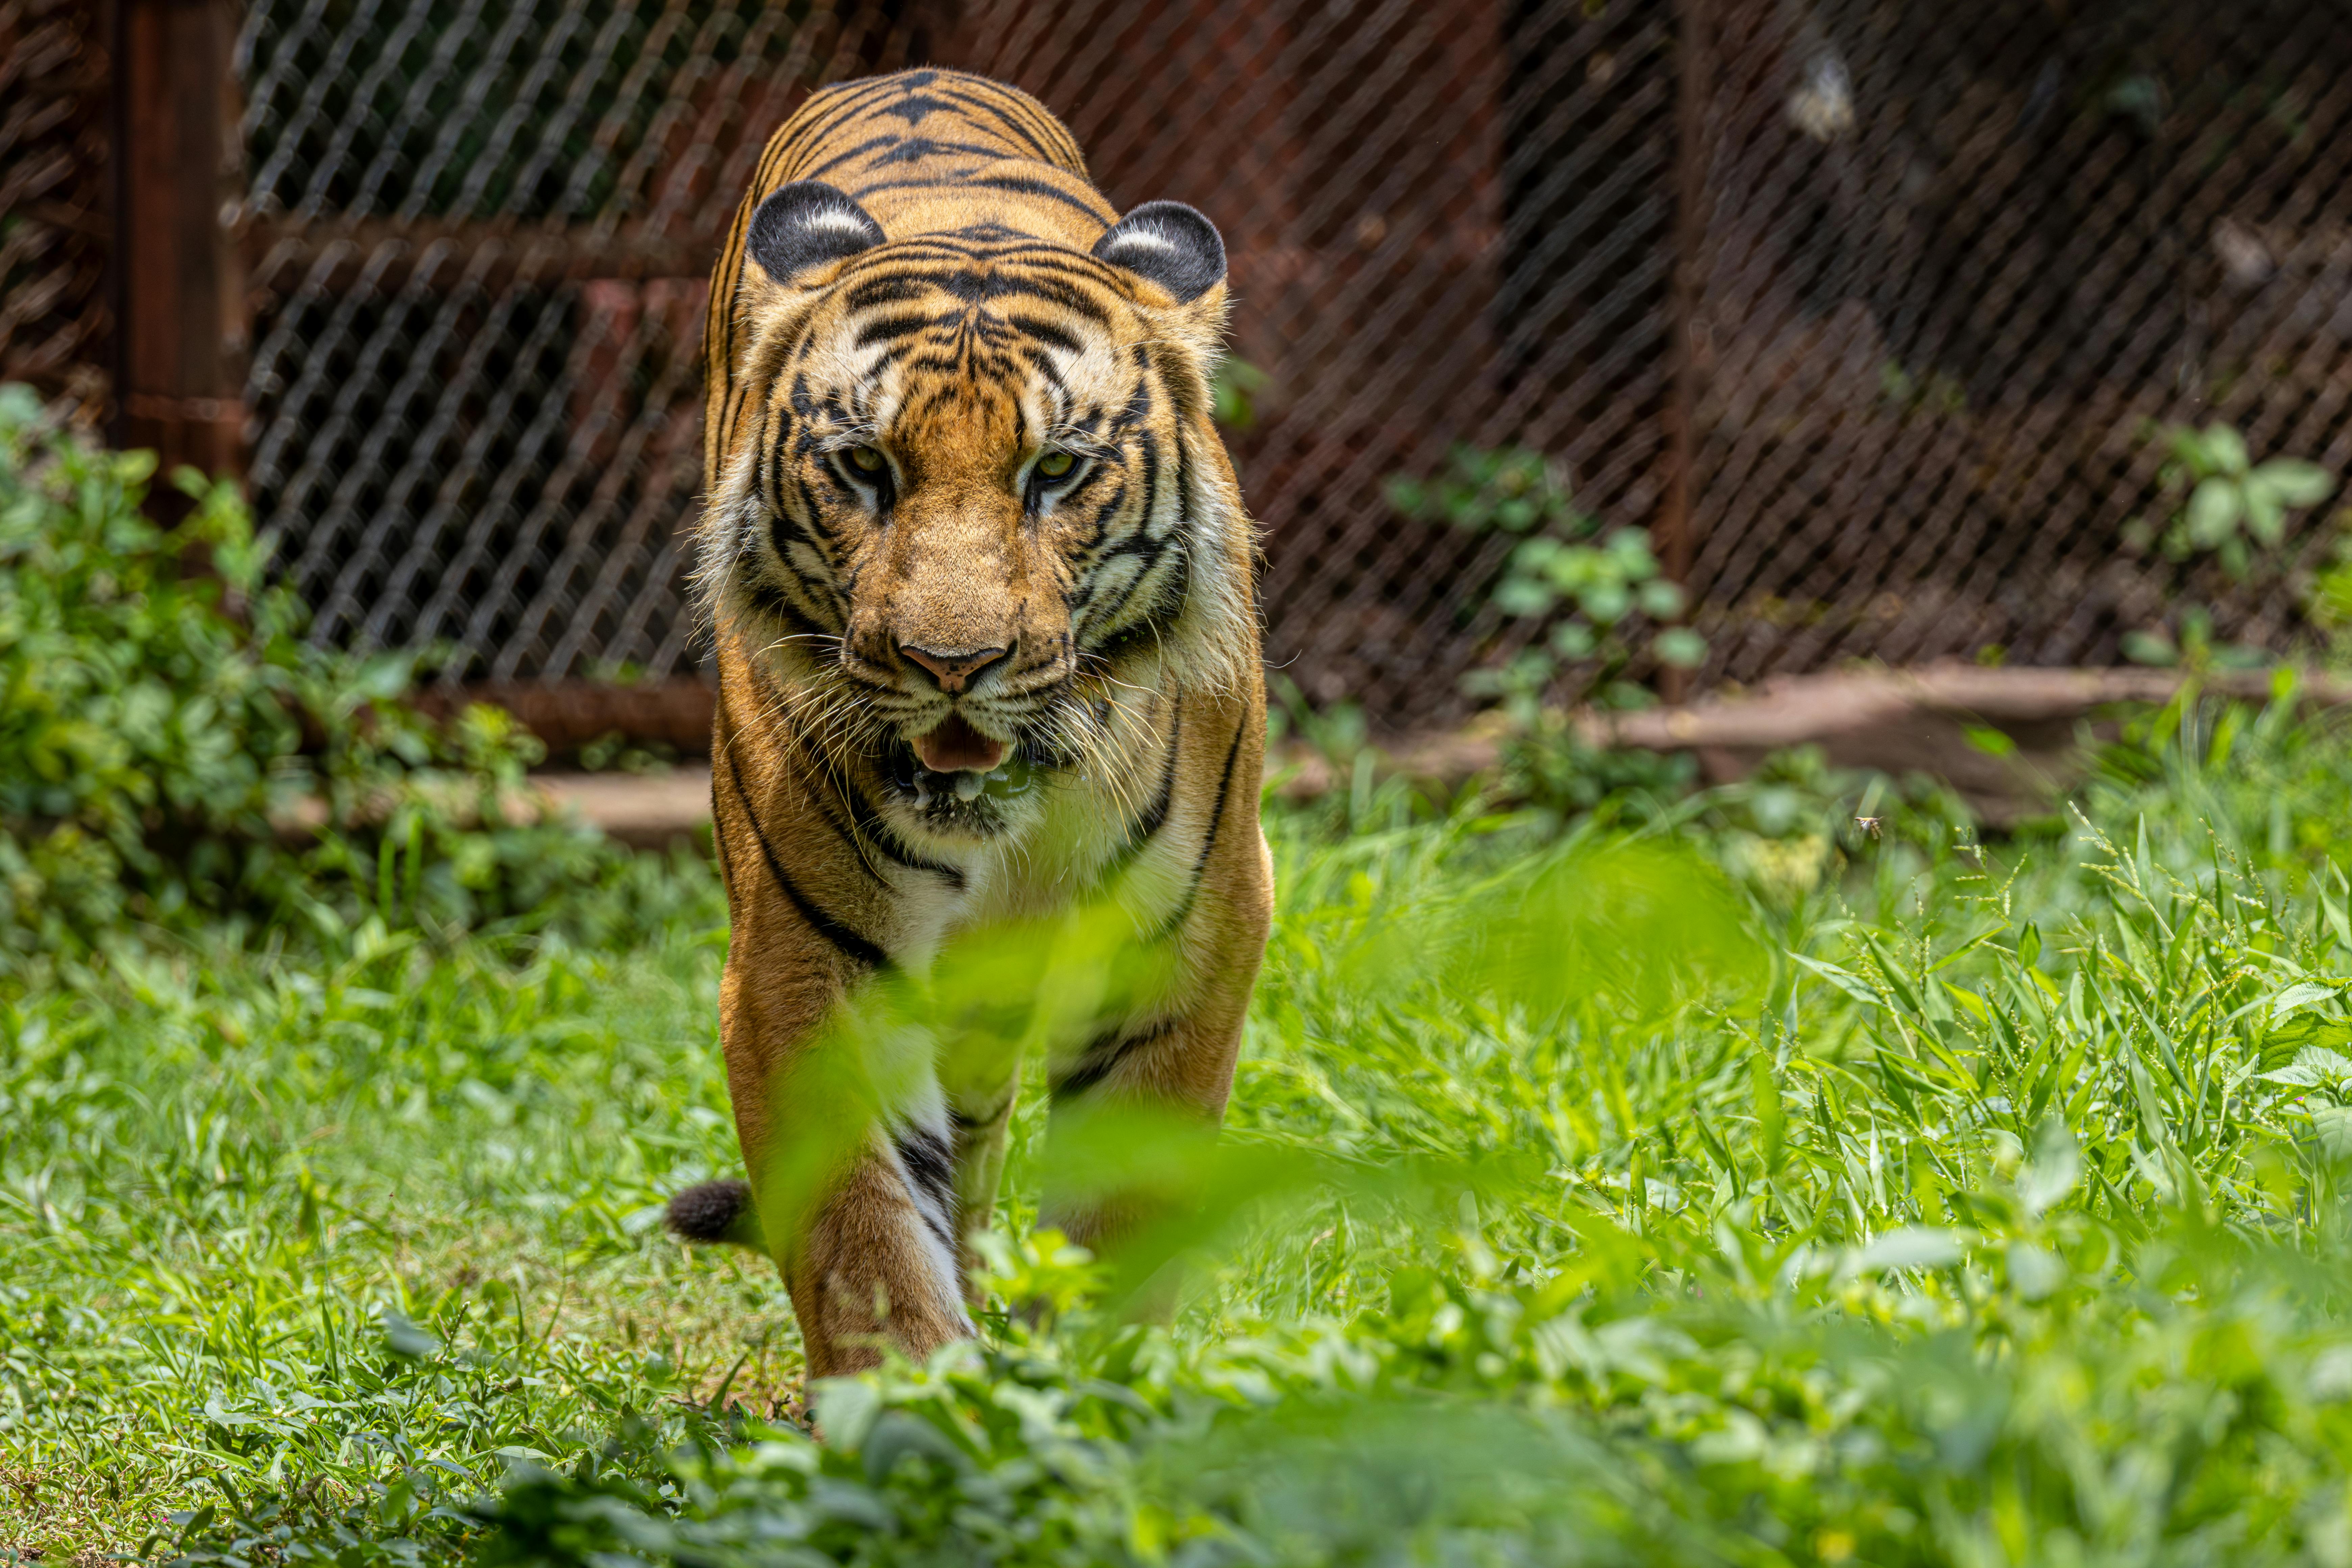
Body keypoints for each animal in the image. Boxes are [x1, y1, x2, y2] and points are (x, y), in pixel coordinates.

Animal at [662, 67, 1272, 1379]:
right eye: (862, 466)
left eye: (1058, 470)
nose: (951, 664)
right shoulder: (808, 966)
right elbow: (869, 1245)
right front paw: (917, 1409)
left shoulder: (1190, 940)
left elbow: (1120, 1226)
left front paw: (1083, 1393)